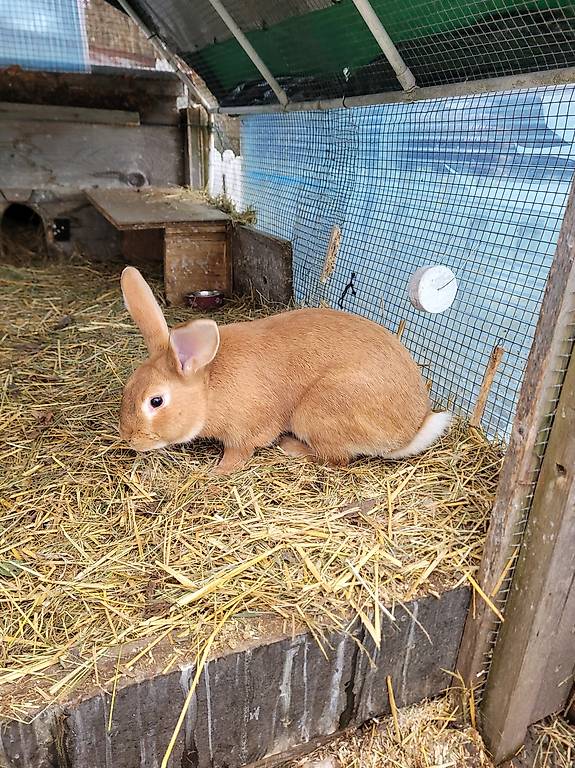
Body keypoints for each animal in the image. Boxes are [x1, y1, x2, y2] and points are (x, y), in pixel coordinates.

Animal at [118, 267, 452, 474]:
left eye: (156, 401)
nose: (129, 439)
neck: (208, 387)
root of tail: (409, 432)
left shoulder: (245, 432)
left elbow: (238, 454)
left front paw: (217, 473)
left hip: (317, 411)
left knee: (335, 458)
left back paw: (291, 447)